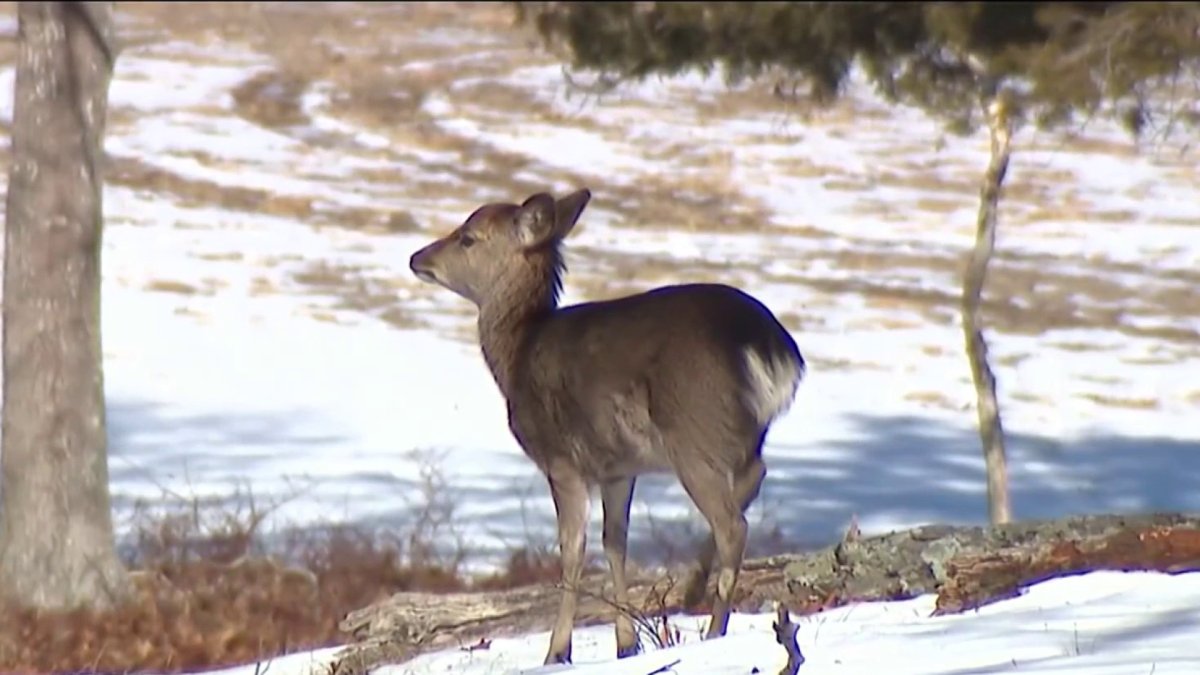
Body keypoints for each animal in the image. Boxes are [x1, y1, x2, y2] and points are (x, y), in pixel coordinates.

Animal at [408, 188, 805, 665]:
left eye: (467, 237)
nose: (416, 257)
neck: (515, 356)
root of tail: (773, 350)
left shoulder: (561, 459)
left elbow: (573, 549)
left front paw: (557, 651)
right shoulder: (618, 468)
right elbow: (615, 541)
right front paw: (626, 643)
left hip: (695, 435)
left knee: (733, 524)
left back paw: (714, 628)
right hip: (737, 435)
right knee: (751, 483)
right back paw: (694, 585)